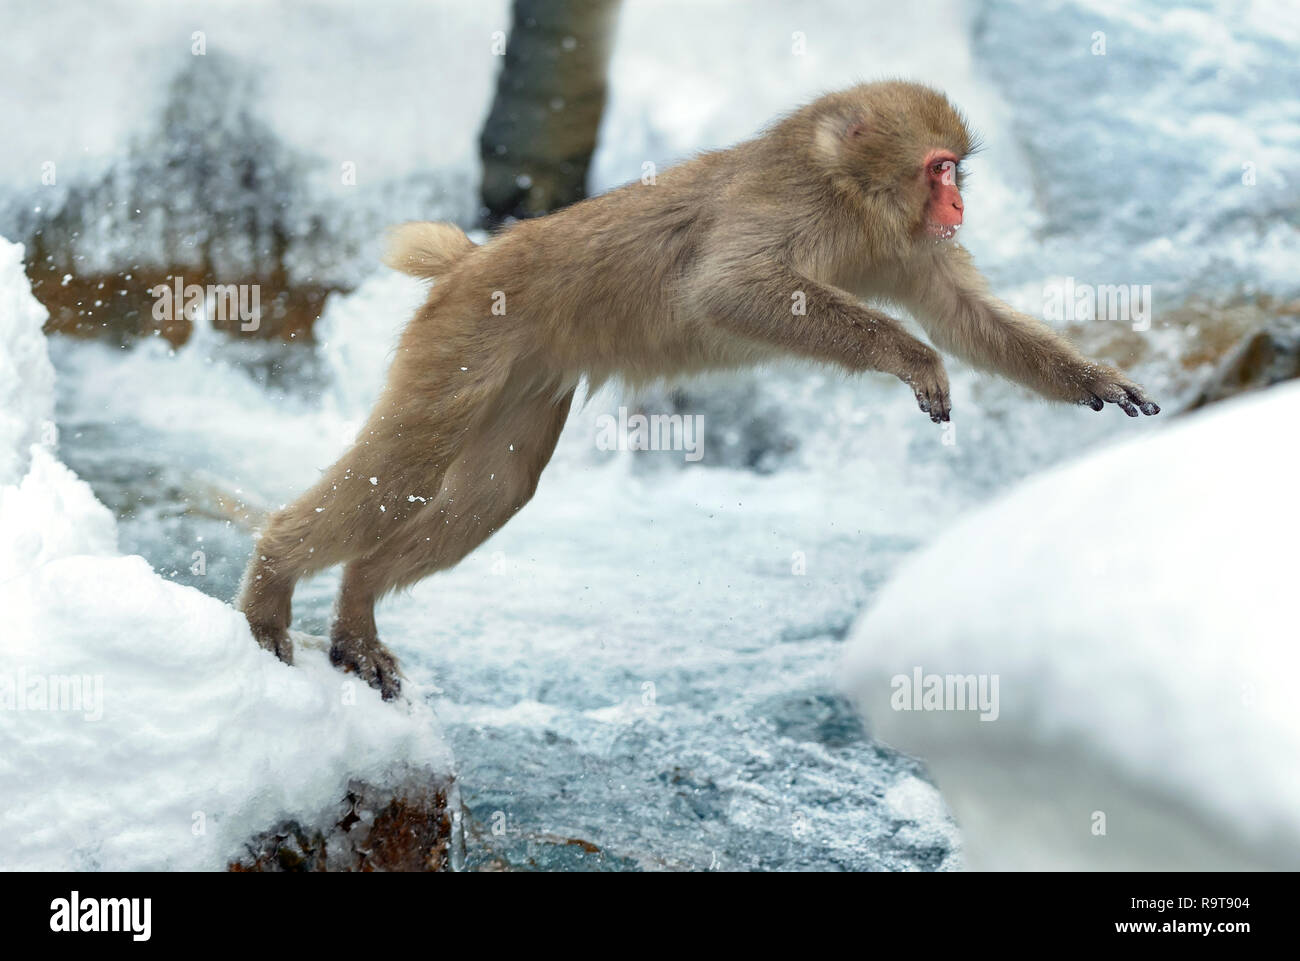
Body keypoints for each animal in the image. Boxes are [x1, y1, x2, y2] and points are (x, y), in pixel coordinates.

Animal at [237, 81, 1158, 699]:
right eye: (938, 168)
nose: (958, 205)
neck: (846, 192)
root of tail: (472, 257)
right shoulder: (788, 207)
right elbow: (728, 289)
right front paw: (913, 357)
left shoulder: (904, 245)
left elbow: (971, 318)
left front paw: (1095, 378)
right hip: (464, 342)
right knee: (408, 460)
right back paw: (275, 582)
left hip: (524, 375)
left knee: (495, 488)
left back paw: (357, 605)